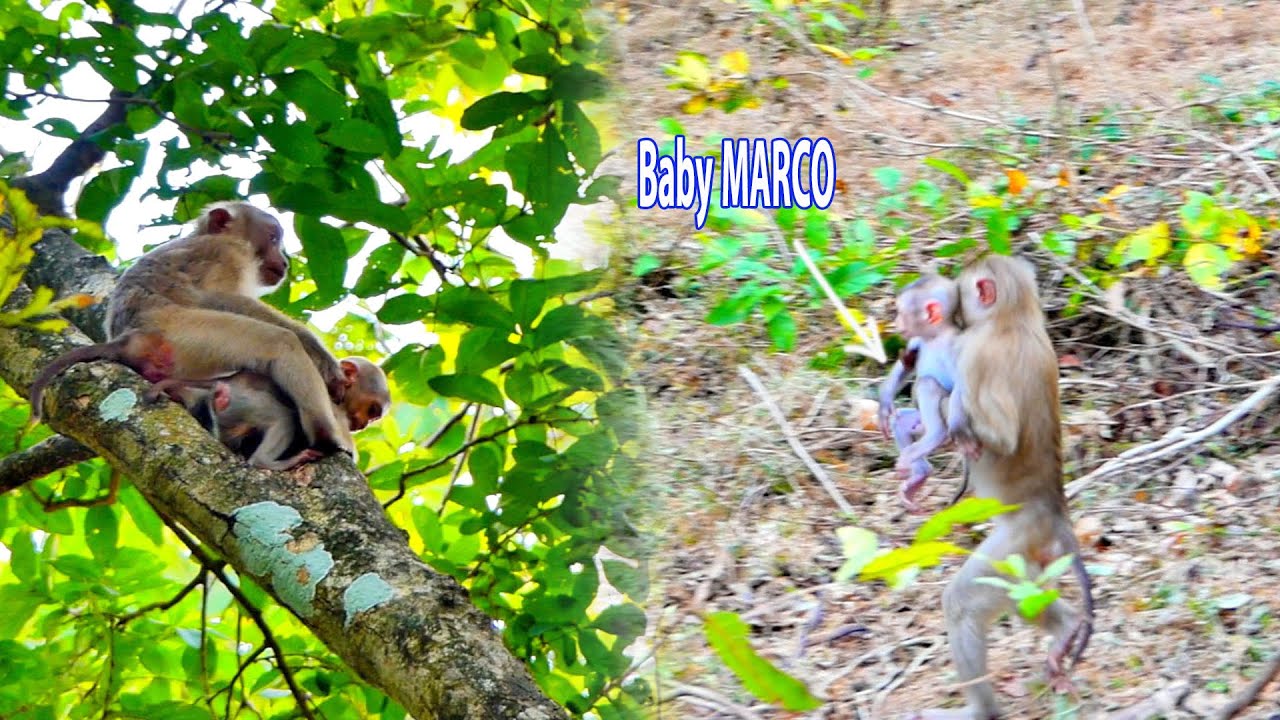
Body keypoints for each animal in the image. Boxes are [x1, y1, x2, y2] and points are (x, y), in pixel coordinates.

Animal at [27, 202, 353, 456]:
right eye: (273, 237)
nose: (284, 260)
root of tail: (131, 337)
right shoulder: (224, 253)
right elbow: (218, 298)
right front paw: (321, 355)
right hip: (187, 332)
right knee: (278, 342)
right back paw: (325, 438)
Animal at [149, 357, 389, 470]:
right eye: (372, 410)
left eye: (374, 417)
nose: (364, 424)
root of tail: (227, 381)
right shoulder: (337, 411)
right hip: (242, 402)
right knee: (283, 418)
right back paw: (264, 462)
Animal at [877, 273, 967, 512]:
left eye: (900, 312)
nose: (896, 323)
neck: (936, 336)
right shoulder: (917, 339)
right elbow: (906, 365)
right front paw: (884, 402)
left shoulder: (955, 347)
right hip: (918, 423)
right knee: (901, 421)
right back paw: (919, 474)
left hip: (947, 418)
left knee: (928, 384)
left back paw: (937, 435)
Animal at [911, 255, 1094, 720]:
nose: (957, 316)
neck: (1014, 320)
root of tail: (1054, 509)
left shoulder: (975, 352)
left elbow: (1000, 437)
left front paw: (949, 421)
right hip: (1028, 548)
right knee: (1020, 587)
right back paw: (1066, 628)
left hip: (1017, 536)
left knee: (963, 602)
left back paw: (982, 710)